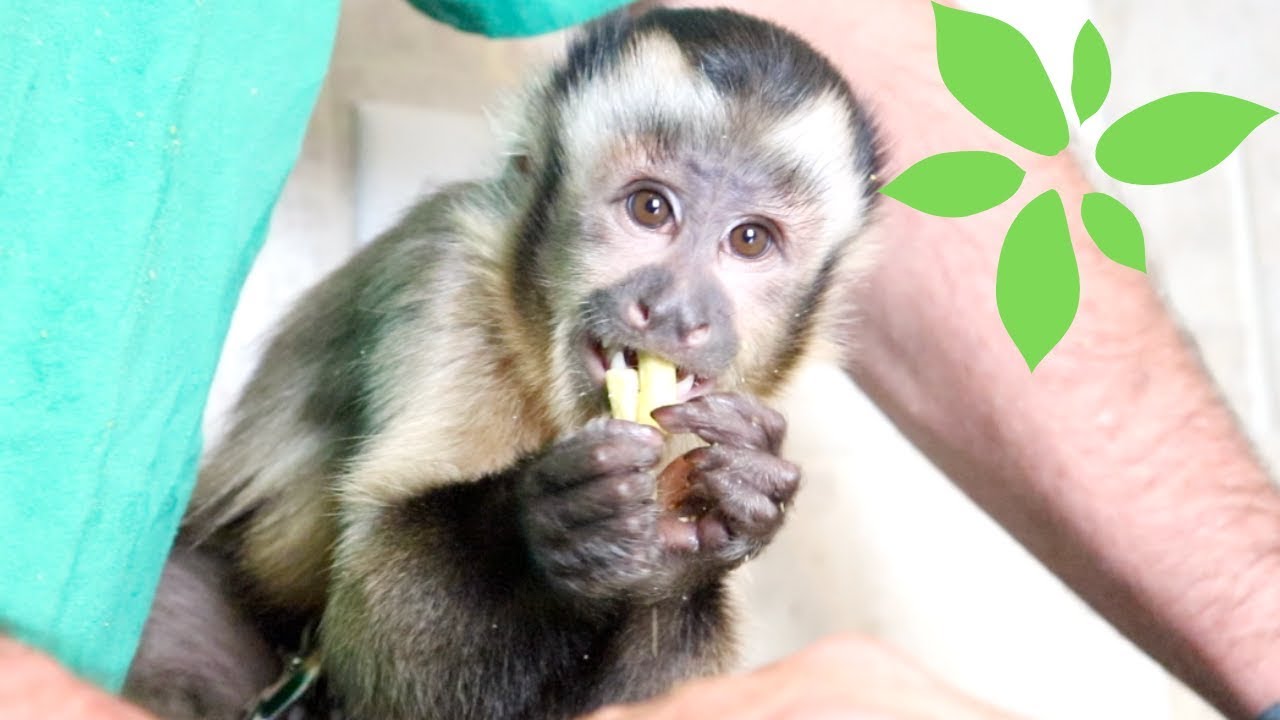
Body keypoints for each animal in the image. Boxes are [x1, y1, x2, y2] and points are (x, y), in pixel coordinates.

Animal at [125, 6, 882, 719]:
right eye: (649, 207)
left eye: (750, 240)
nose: (673, 310)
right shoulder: (446, 276)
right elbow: (382, 644)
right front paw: (538, 525)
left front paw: (722, 519)